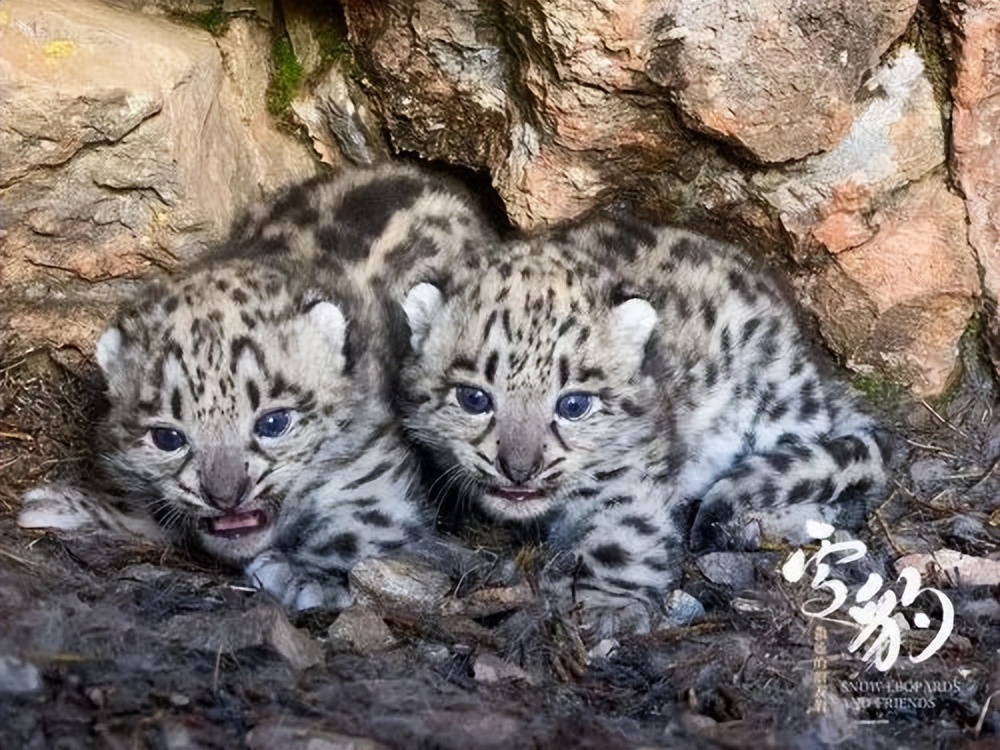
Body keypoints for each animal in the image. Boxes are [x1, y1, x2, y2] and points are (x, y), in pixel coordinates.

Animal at [19, 163, 497, 610]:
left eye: (273, 422)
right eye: (168, 437)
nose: (226, 496)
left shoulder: (375, 478)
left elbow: (358, 527)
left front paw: (299, 573)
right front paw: (68, 505)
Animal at [399, 215, 889, 638]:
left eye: (574, 404)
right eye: (474, 398)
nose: (519, 469)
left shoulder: (629, 480)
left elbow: (625, 537)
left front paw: (606, 609)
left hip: (777, 404)